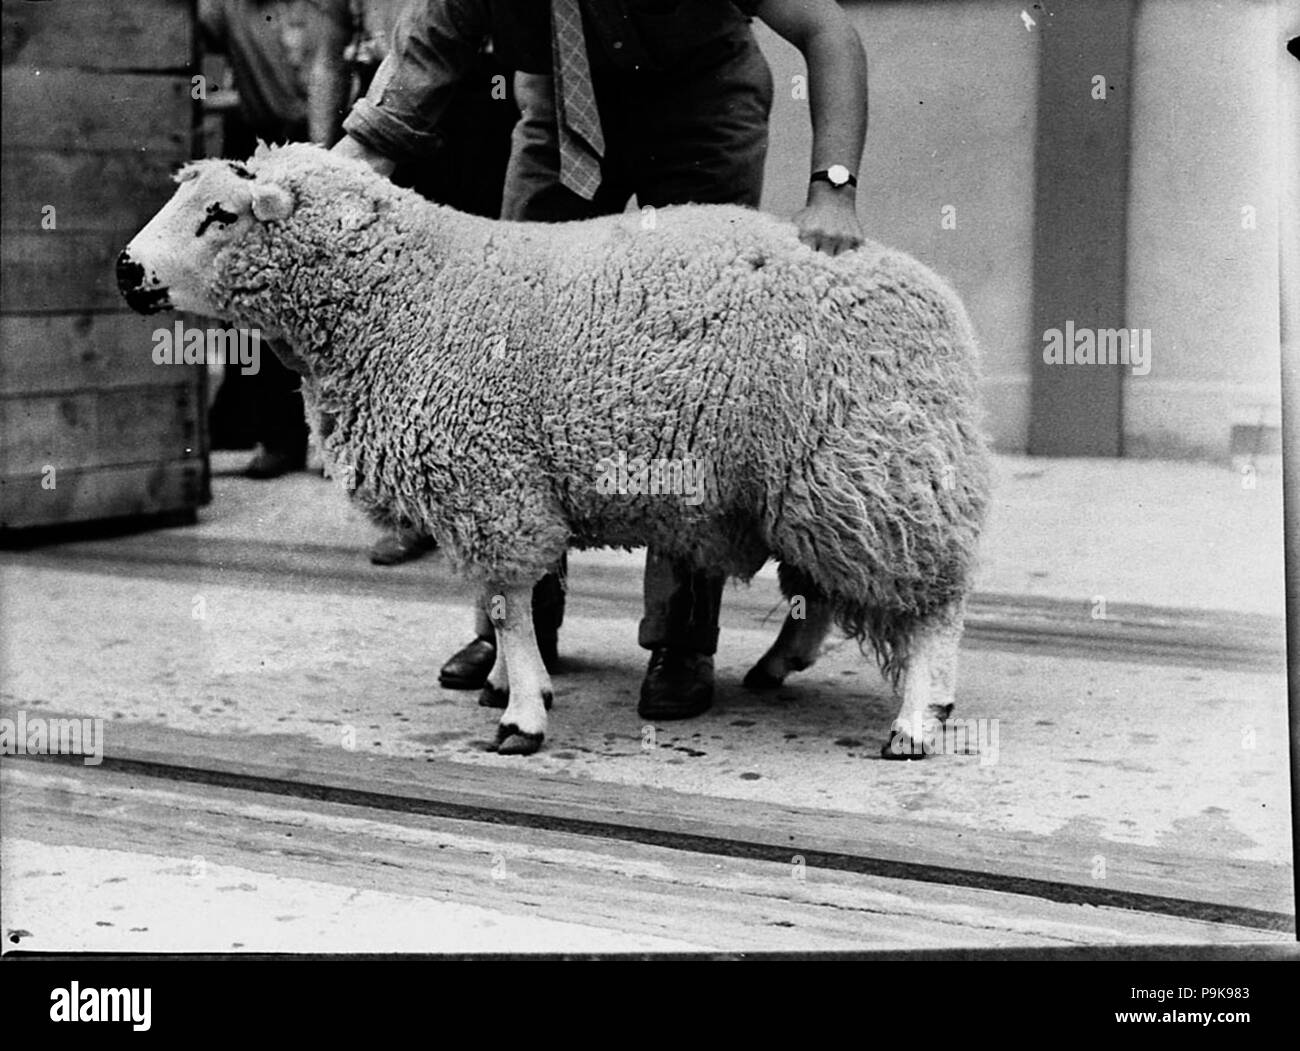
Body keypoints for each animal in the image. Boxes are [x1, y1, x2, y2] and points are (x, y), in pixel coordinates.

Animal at [117, 142, 991, 757]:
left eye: (220, 214)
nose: (127, 271)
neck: (406, 295)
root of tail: (937, 297)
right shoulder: (502, 486)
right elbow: (519, 600)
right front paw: (508, 680)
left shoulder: (488, 482)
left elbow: (508, 602)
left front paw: (523, 712)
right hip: (817, 484)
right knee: (826, 586)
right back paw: (781, 665)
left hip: (873, 465)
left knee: (935, 600)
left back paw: (919, 716)